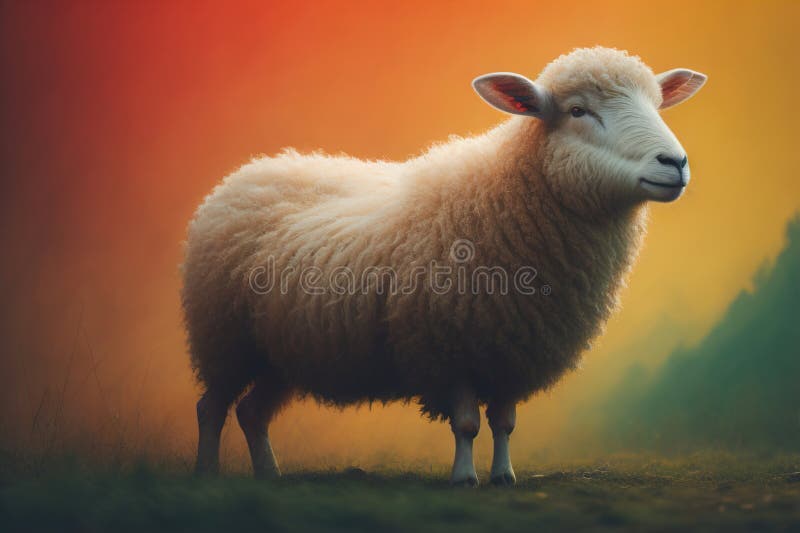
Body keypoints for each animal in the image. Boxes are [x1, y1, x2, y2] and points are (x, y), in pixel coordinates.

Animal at [182, 46, 707, 486]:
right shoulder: (446, 343)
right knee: (211, 408)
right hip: (223, 337)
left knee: (251, 413)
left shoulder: (513, 346)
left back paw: (269, 475)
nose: (675, 162)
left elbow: (505, 423)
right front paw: (464, 478)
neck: (506, 196)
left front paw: (504, 477)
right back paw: (206, 473)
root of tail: (247, 172)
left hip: (278, 350)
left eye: (657, 105)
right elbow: (468, 424)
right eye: (578, 111)